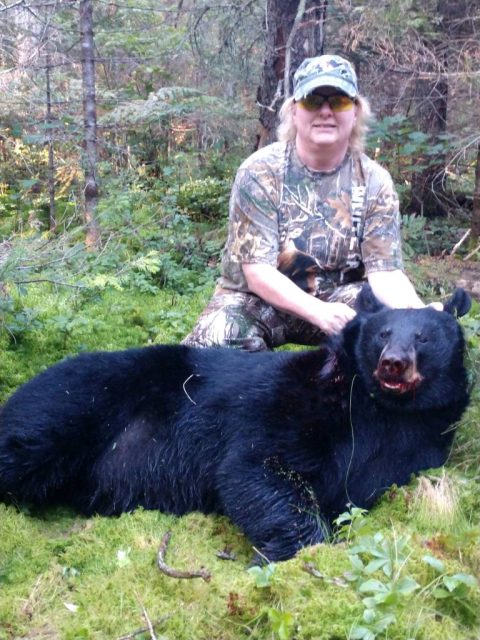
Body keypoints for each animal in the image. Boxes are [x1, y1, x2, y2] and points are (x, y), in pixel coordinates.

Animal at [0, 285, 472, 562]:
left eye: (423, 337)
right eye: (382, 333)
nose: (393, 362)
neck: (380, 408)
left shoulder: (418, 441)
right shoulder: (287, 402)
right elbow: (255, 467)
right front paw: (299, 552)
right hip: (79, 399)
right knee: (28, 440)